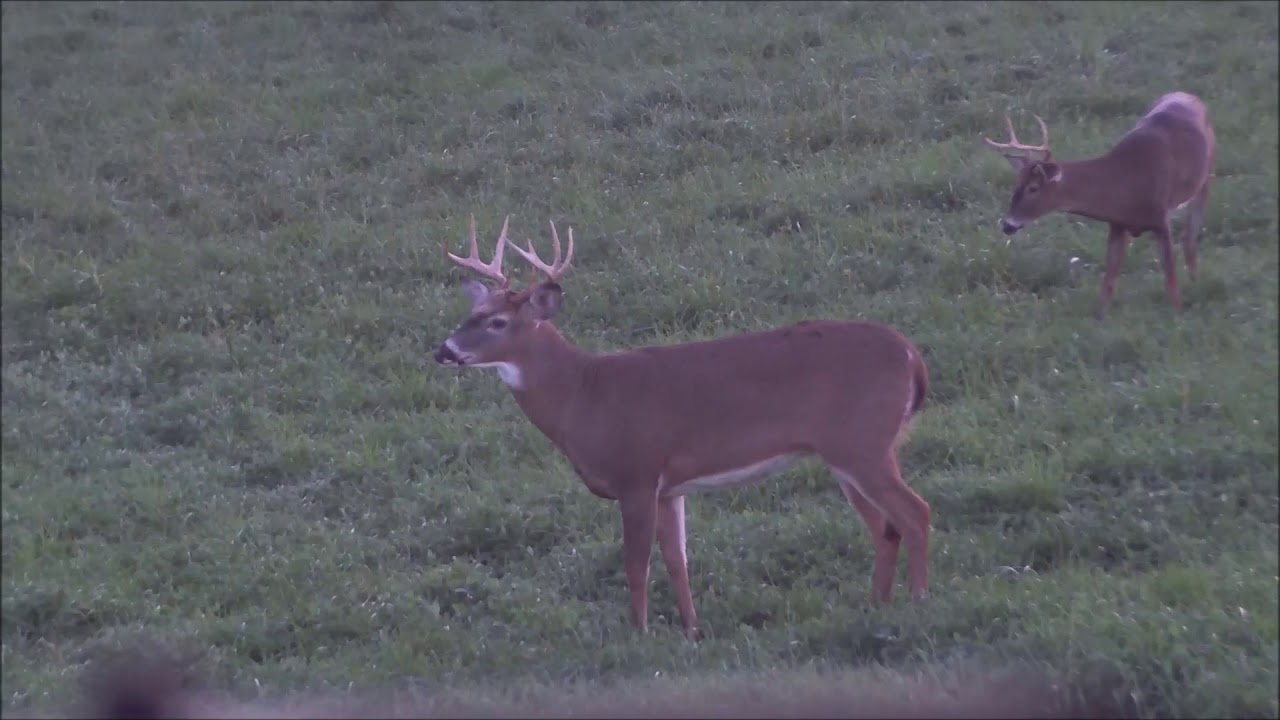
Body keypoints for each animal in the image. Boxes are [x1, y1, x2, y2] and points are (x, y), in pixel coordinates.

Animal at [431, 215, 932, 642]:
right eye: (469, 315)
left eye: (497, 321)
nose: (443, 351)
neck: (583, 394)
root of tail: (912, 356)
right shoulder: (669, 487)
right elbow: (678, 560)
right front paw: (692, 630)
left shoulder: (636, 471)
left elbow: (637, 563)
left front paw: (640, 633)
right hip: (846, 453)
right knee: (884, 527)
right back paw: (877, 605)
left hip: (864, 442)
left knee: (915, 512)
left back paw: (917, 602)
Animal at [984, 91, 1216, 320]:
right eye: (1015, 185)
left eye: (1033, 188)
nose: (1007, 225)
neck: (1126, 184)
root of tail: (1189, 95)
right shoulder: (1117, 225)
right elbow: (1108, 282)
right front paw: (1099, 319)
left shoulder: (1161, 219)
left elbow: (1170, 277)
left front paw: (1179, 313)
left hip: (1206, 176)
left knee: (1190, 236)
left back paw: (1195, 281)